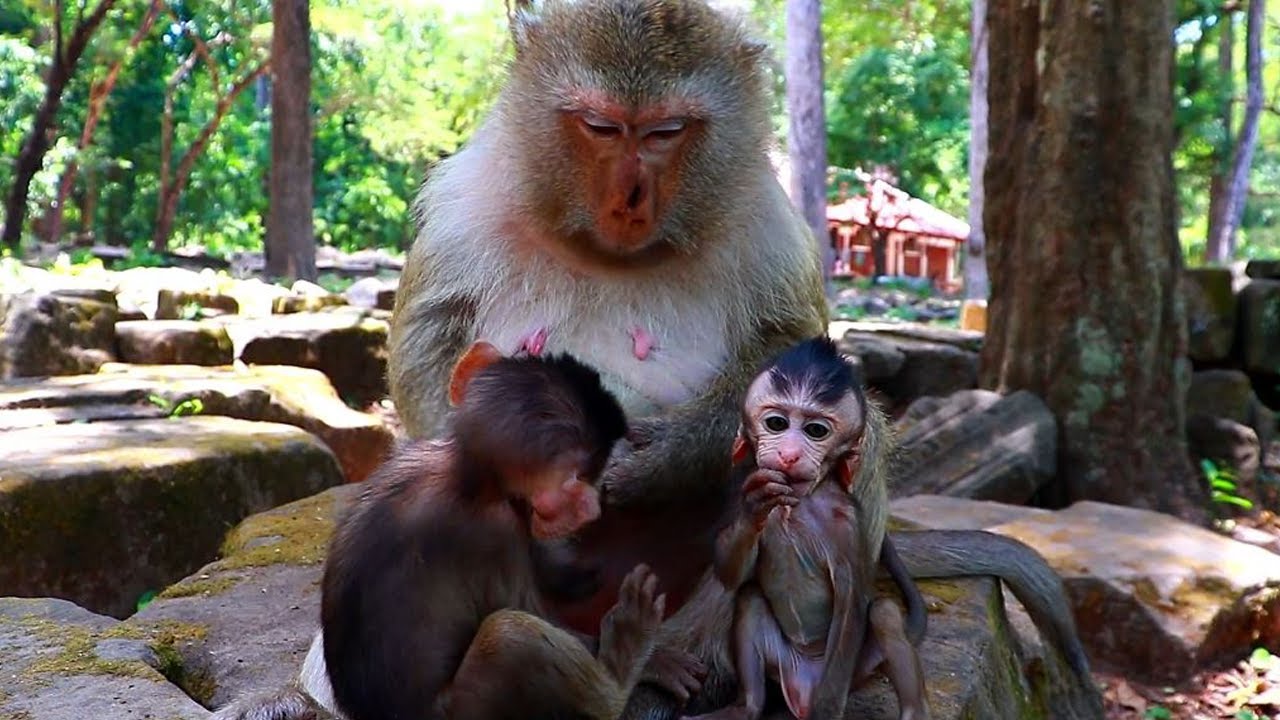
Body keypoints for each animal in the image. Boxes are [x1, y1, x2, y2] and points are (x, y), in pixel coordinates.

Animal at [681, 336, 929, 720]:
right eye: (776, 423)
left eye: (816, 431)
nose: (789, 454)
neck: (795, 506)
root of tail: (800, 690)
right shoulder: (738, 484)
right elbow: (731, 574)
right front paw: (756, 507)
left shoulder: (847, 522)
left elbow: (852, 603)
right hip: (780, 663)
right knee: (750, 598)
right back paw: (745, 706)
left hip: (854, 670)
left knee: (884, 614)